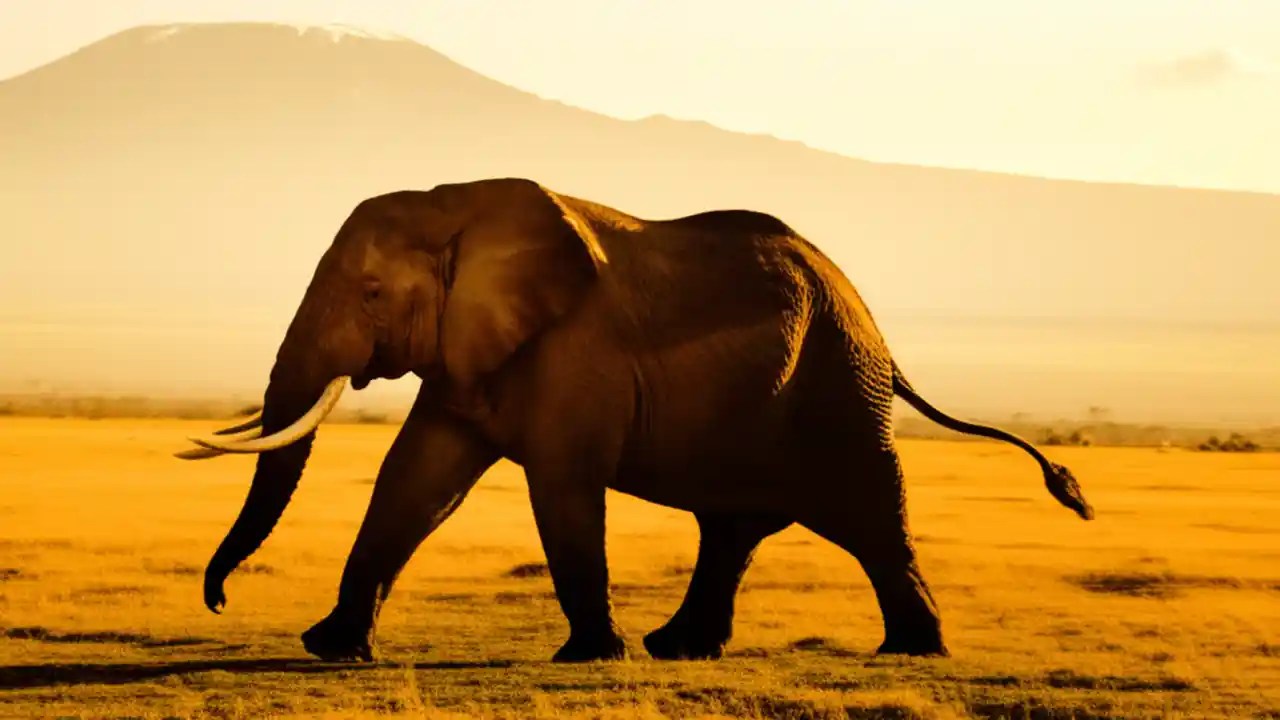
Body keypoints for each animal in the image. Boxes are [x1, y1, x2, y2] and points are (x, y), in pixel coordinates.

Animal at [177, 177, 1093, 663]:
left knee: (869, 516)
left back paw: (913, 651)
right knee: (733, 529)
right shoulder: (467, 350)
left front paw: (589, 658)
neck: (458, 203)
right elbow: (413, 482)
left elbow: (562, 489)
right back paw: (678, 648)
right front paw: (330, 648)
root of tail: (879, 330)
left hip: (841, 385)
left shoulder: (572, 355)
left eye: (370, 293)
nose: (217, 603)